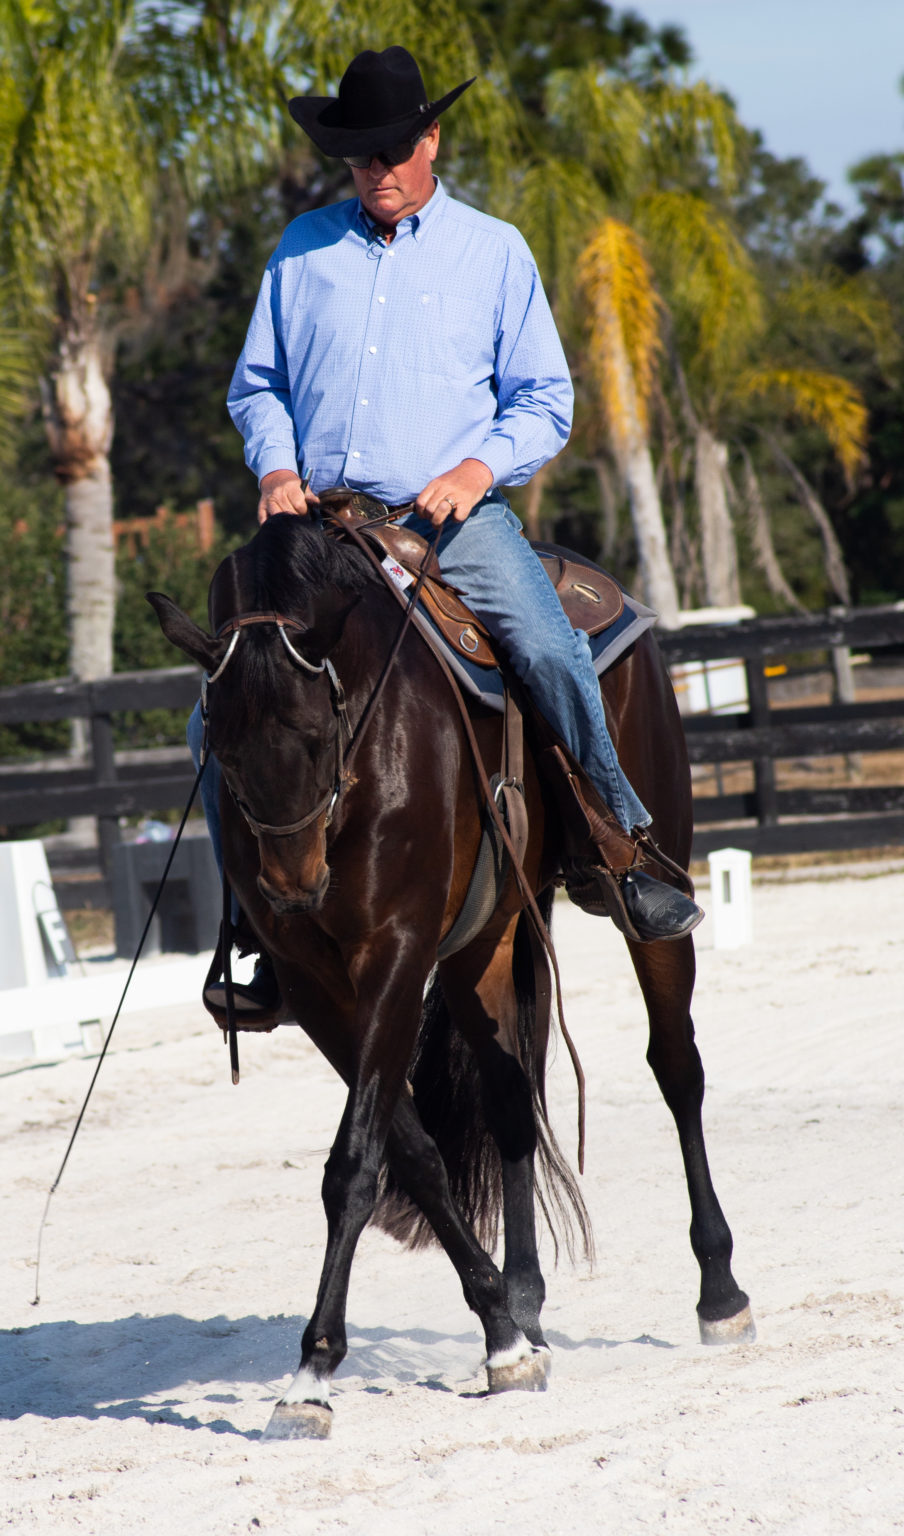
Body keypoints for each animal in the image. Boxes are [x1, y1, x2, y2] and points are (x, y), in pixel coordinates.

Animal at [149, 511, 754, 1440]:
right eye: (221, 744)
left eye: (318, 735)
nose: (292, 888)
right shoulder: (318, 983)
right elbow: (415, 1153)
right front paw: (504, 1333)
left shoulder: (395, 953)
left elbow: (354, 1166)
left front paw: (311, 1372)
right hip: (488, 943)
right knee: (512, 1098)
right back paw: (530, 1302)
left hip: (659, 882)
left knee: (676, 1067)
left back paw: (720, 1292)